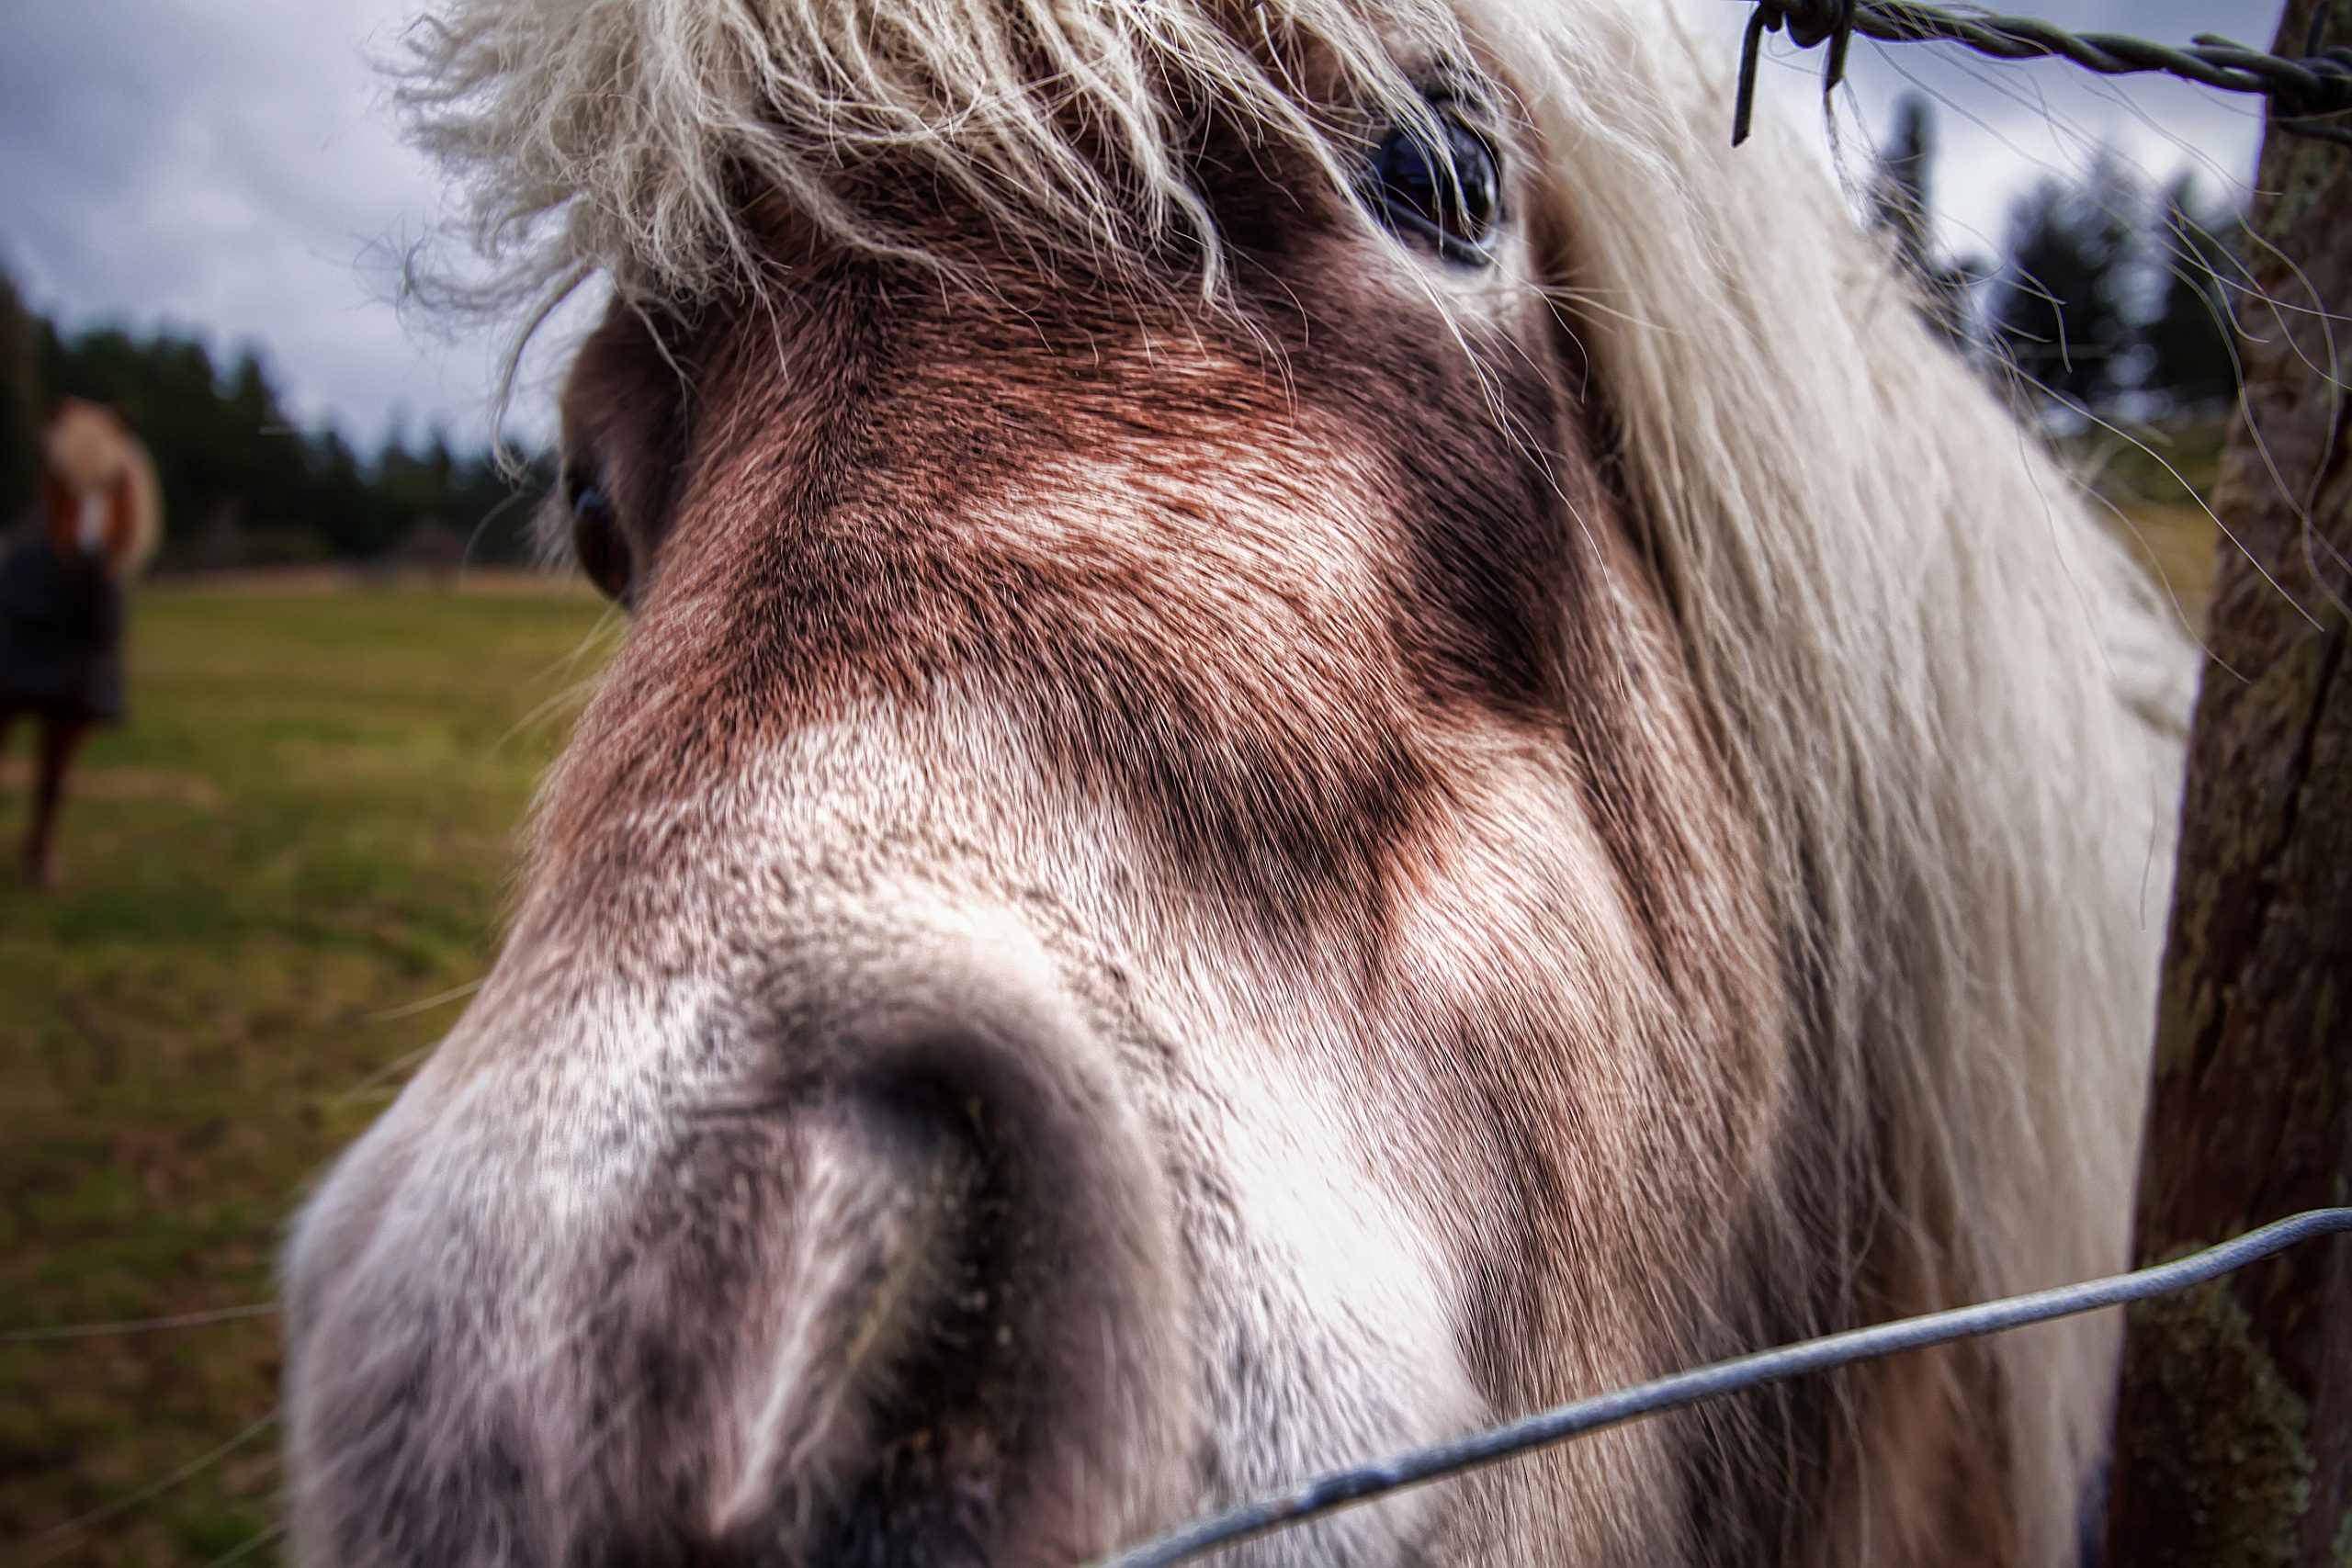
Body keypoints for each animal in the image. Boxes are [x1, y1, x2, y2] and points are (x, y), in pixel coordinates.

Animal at [0, 398, 160, 886]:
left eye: (114, 480)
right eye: (58, 478)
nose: (89, 553)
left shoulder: (73, 711)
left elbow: (53, 782)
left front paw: (41, 865)